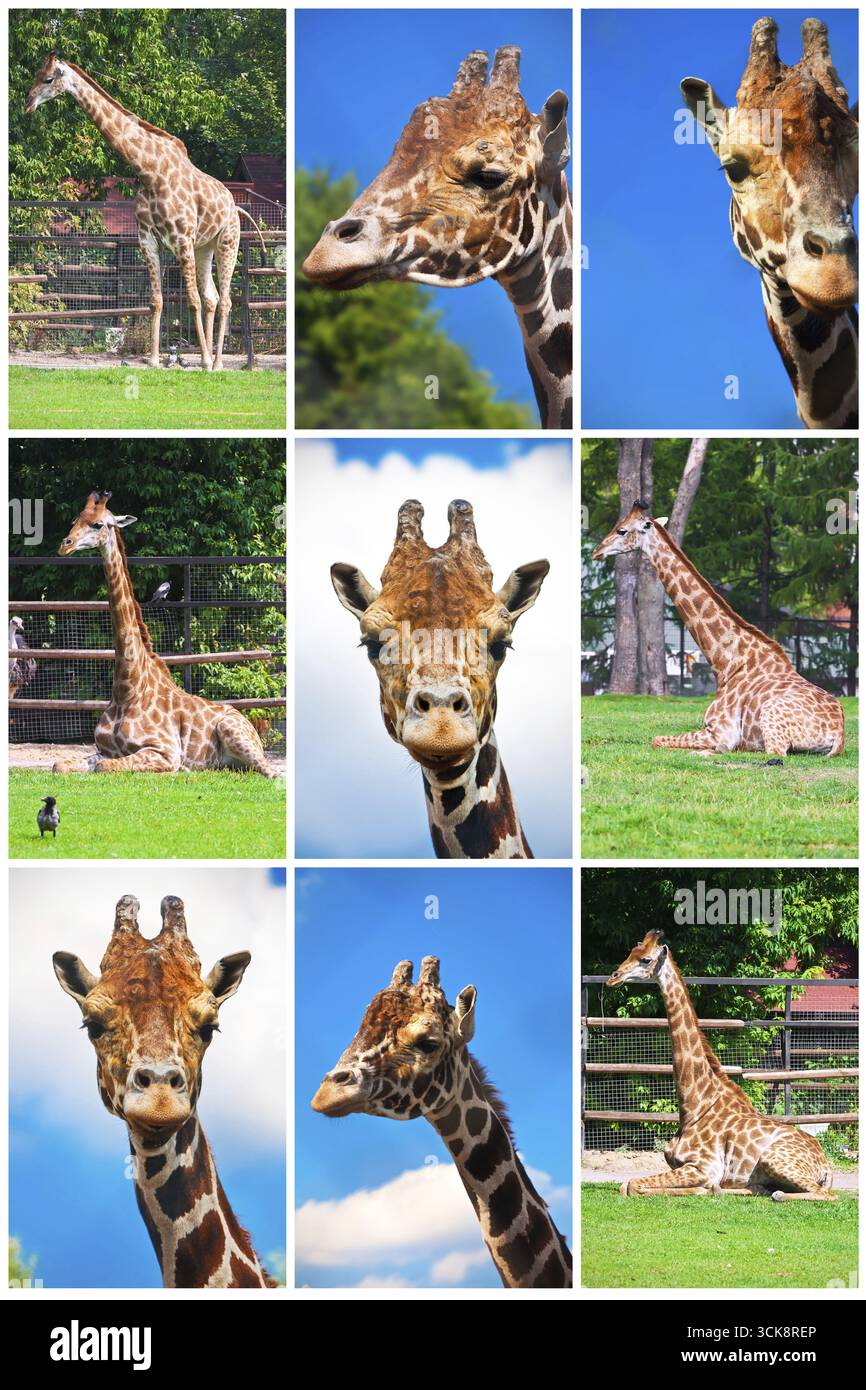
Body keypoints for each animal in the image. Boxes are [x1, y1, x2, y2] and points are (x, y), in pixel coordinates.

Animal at [25, 52, 266, 370]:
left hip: (228, 242)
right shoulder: (148, 240)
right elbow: (156, 300)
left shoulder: (181, 240)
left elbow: (190, 301)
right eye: (36, 74)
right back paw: (211, 360)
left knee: (223, 299)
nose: (27, 102)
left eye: (49, 78)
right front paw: (153, 359)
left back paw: (214, 364)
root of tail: (236, 204)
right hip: (205, 247)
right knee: (213, 297)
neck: (150, 172)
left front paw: (200, 360)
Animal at [52, 490, 275, 775]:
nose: (65, 545)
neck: (127, 689)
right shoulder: (103, 750)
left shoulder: (166, 752)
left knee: (271, 772)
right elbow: (60, 764)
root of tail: (248, 723)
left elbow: (105, 767)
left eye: (98, 524)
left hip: (235, 734)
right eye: (75, 520)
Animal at [592, 500, 844, 760]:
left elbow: (657, 740)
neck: (727, 663)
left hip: (772, 722)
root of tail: (839, 733)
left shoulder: (721, 731)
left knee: (772, 753)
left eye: (621, 530)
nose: (596, 551)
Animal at [606, 931, 836, 1200]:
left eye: (645, 959)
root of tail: (826, 1165)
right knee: (761, 1189)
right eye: (630, 953)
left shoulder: (704, 1167)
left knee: (823, 1195)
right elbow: (626, 1185)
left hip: (777, 1160)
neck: (694, 1107)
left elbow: (632, 1185)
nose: (613, 978)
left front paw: (703, 1190)